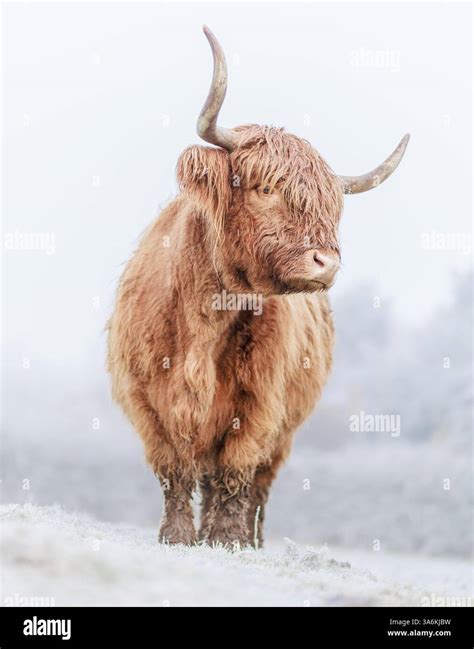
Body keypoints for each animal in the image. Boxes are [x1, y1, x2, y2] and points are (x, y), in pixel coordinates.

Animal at [107, 26, 409, 549]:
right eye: (265, 188)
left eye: (331, 204)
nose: (326, 262)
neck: (204, 319)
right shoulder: (147, 400)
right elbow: (173, 470)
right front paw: (177, 536)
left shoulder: (260, 405)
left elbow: (236, 471)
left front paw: (228, 540)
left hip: (285, 434)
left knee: (255, 487)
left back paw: (250, 538)